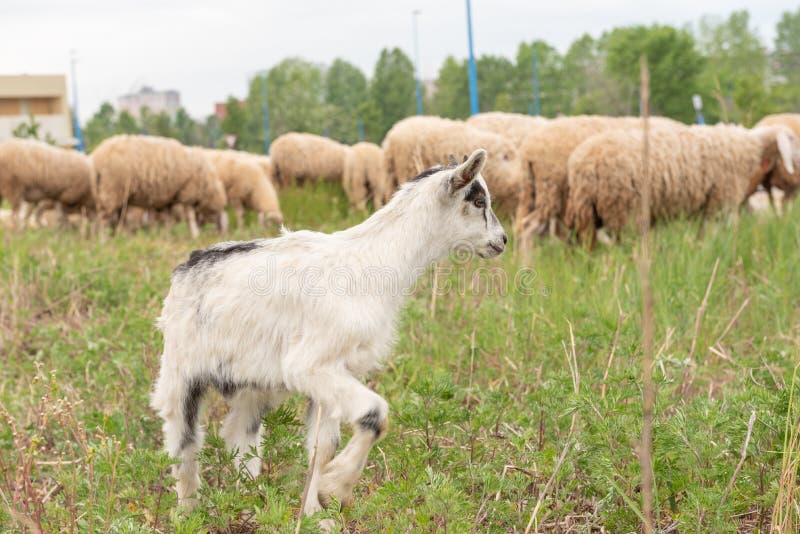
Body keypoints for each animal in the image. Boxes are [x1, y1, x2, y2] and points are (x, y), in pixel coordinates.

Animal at [151, 148, 507, 516]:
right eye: (479, 200)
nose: (501, 240)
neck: (373, 259)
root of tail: (188, 264)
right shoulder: (309, 364)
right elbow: (374, 414)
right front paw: (335, 489)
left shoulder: (336, 370)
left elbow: (322, 446)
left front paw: (316, 513)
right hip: (180, 371)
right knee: (183, 442)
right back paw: (187, 512)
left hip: (254, 381)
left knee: (239, 434)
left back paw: (249, 504)